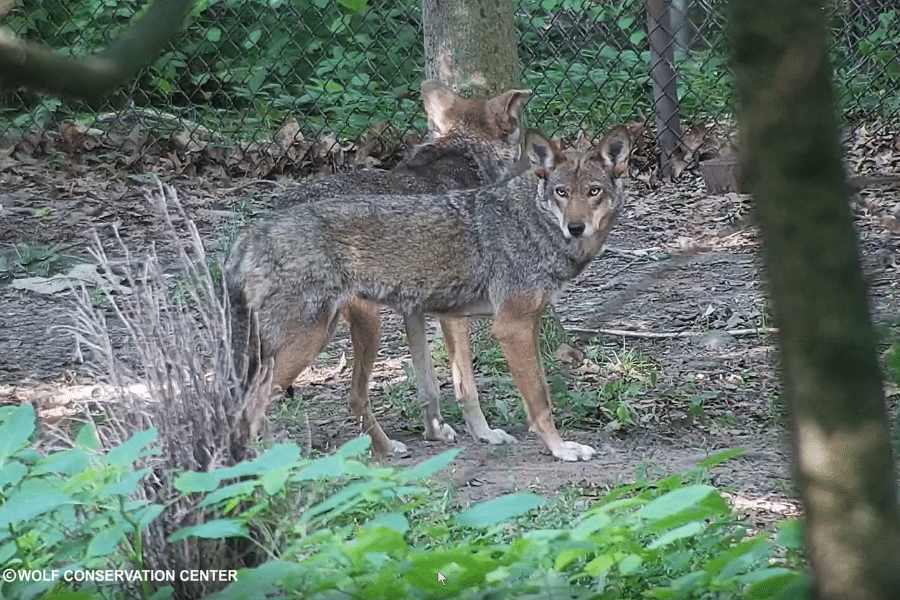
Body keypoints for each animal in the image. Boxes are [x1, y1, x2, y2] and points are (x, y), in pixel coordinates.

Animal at [226, 125, 632, 461]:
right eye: (561, 192)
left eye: (593, 192)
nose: (575, 227)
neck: (531, 222)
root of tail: (248, 236)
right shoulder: (511, 328)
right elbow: (540, 401)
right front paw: (561, 450)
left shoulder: (466, 319)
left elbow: (466, 390)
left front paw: (485, 436)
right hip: (319, 340)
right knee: (253, 407)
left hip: (323, 337)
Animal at [273, 80, 531, 456]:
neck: (465, 154)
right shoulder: (453, 316)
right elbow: (465, 387)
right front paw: (485, 434)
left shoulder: (415, 310)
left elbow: (428, 383)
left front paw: (435, 432)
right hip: (356, 327)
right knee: (353, 397)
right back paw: (385, 447)